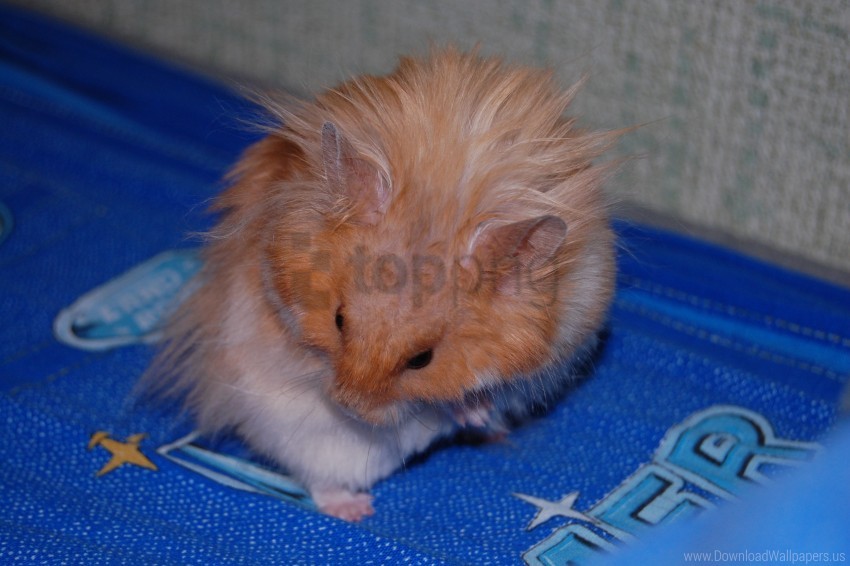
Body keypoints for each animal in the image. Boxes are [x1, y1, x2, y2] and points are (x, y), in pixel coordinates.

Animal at [145, 48, 619, 521]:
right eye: (338, 320)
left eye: (422, 359)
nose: (348, 408)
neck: (439, 202)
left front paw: (473, 413)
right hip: (292, 433)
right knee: (318, 477)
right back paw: (357, 509)